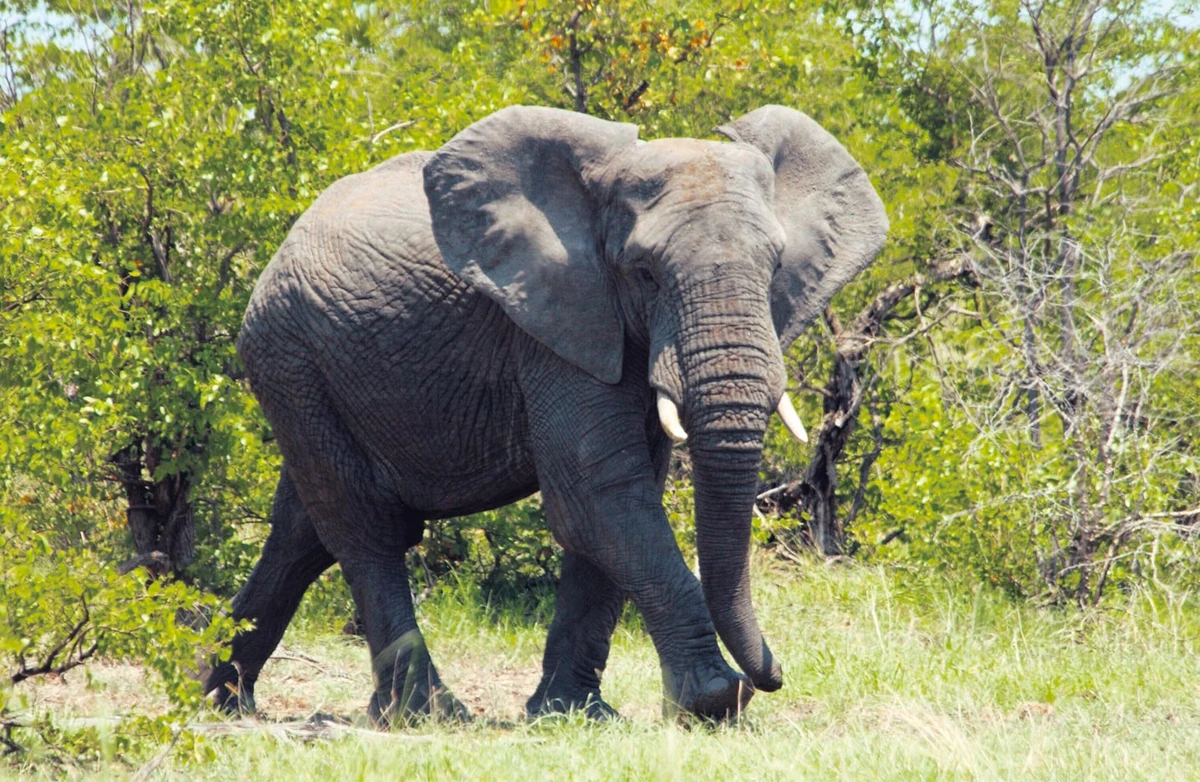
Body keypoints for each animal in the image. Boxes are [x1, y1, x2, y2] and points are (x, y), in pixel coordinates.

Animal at [202, 104, 888, 723]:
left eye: (774, 269)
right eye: (644, 273)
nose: (774, 673)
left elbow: (615, 501)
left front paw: (575, 714)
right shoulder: (550, 323)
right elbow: (597, 495)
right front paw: (715, 702)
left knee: (303, 533)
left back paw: (216, 695)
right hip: (289, 357)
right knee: (364, 528)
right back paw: (428, 715)